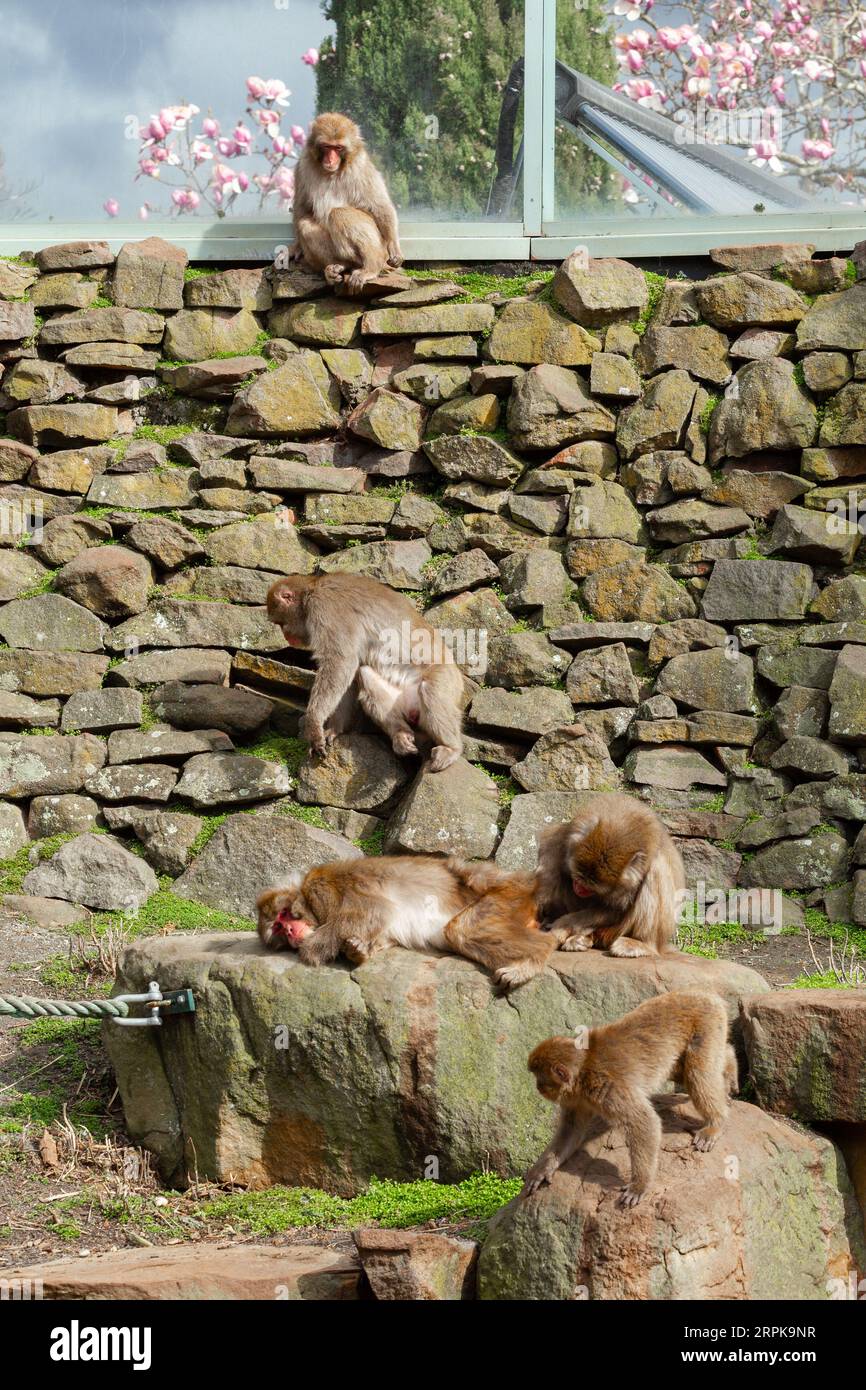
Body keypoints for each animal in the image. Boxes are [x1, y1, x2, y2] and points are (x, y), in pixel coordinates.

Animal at [256, 855, 559, 991]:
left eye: (283, 916)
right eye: (278, 929)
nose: (291, 931)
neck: (305, 898)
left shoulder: (322, 889)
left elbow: (373, 910)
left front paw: (312, 949)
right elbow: (379, 928)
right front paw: (357, 951)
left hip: (505, 897)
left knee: (461, 930)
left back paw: (530, 961)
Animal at [266, 572, 464, 771]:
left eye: (280, 623)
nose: (285, 636)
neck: (310, 591)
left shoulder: (325, 608)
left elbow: (340, 661)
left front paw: (314, 725)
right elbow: (350, 674)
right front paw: (334, 729)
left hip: (448, 680)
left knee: (430, 691)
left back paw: (451, 748)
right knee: (365, 675)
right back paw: (401, 734)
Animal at [290, 112, 402, 294]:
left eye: (338, 148)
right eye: (326, 147)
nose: (330, 159)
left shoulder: (360, 165)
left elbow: (379, 205)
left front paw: (395, 247)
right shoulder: (302, 165)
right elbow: (302, 208)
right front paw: (295, 247)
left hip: (380, 245)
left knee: (339, 213)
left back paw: (371, 266)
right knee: (305, 224)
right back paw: (341, 266)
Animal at [523, 991, 738, 1208]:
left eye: (540, 1079)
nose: (537, 1088)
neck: (583, 1073)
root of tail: (704, 994)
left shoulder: (608, 1089)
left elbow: (643, 1121)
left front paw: (639, 1185)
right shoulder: (576, 1100)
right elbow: (571, 1129)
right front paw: (543, 1169)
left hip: (707, 1024)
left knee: (697, 1073)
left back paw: (716, 1122)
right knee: (688, 1068)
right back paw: (729, 1068)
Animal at [534, 793, 685, 958]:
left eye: (589, 887)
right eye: (578, 879)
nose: (579, 888)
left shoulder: (626, 886)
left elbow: (614, 910)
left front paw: (563, 925)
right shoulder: (556, 843)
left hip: (617, 931)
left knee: (657, 868)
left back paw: (642, 943)